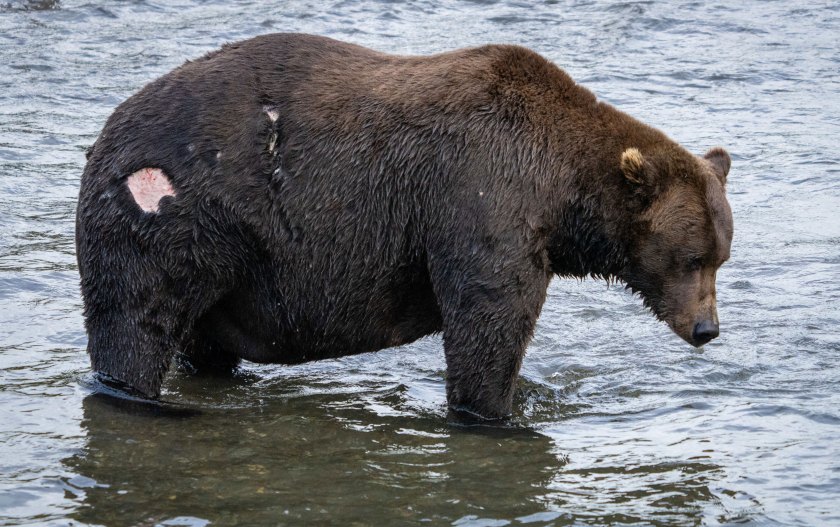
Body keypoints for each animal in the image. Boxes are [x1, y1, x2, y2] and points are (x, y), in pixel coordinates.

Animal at [76, 33, 733, 420]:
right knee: (135, 324)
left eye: (720, 256)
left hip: (217, 252)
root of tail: (107, 129)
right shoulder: (482, 195)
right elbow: (489, 320)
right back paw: (141, 397)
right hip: (170, 215)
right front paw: (494, 412)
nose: (707, 329)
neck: (561, 191)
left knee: (201, 337)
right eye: (691, 257)